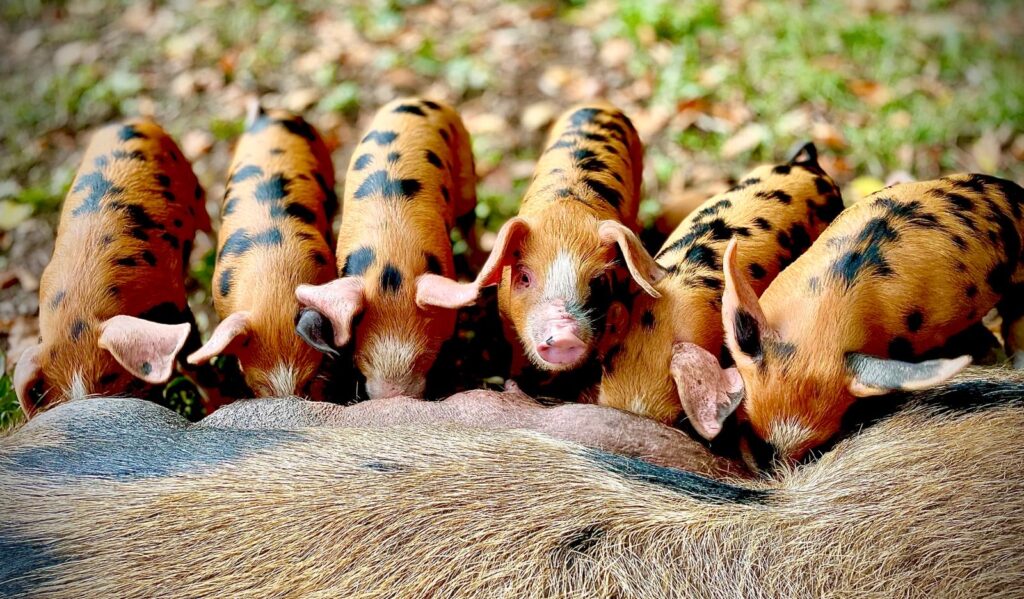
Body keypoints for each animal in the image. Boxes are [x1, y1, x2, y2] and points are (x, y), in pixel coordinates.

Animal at [13, 118, 210, 418]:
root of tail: (126, 122)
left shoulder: (172, 302)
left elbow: (192, 359)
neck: (78, 308)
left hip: (195, 188)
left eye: (115, 379)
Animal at [295, 98, 477, 399]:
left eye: (423, 357)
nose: (392, 396)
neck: (391, 262)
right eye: (364, 359)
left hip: (466, 168)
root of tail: (417, 100)